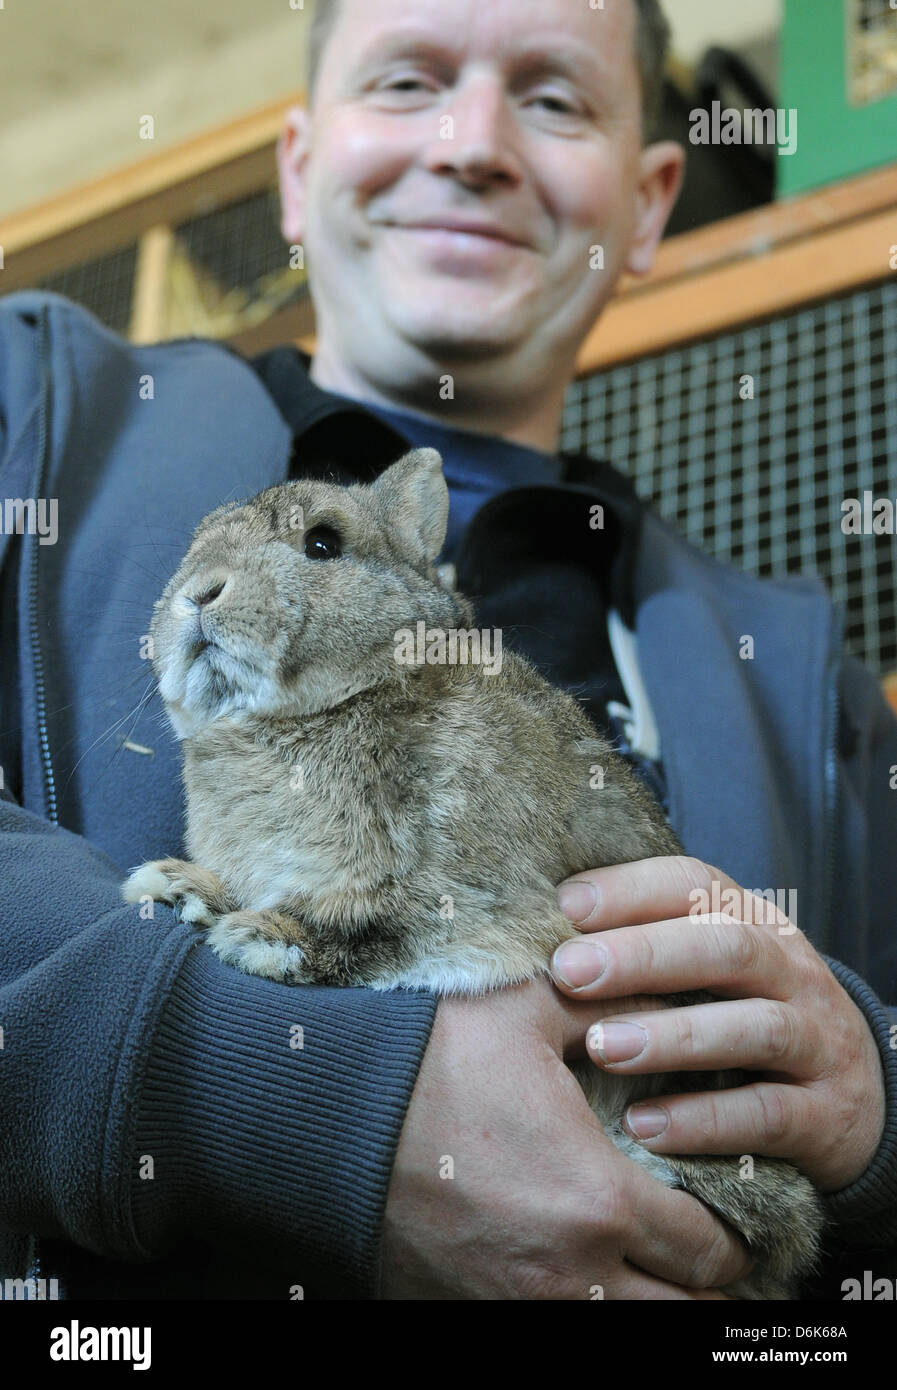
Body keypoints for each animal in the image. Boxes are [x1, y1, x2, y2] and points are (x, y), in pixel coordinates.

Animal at [122, 446, 824, 1299]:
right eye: (197, 544)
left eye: (323, 543)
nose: (199, 593)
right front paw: (176, 887)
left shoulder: (478, 902)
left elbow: (382, 932)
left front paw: (262, 935)